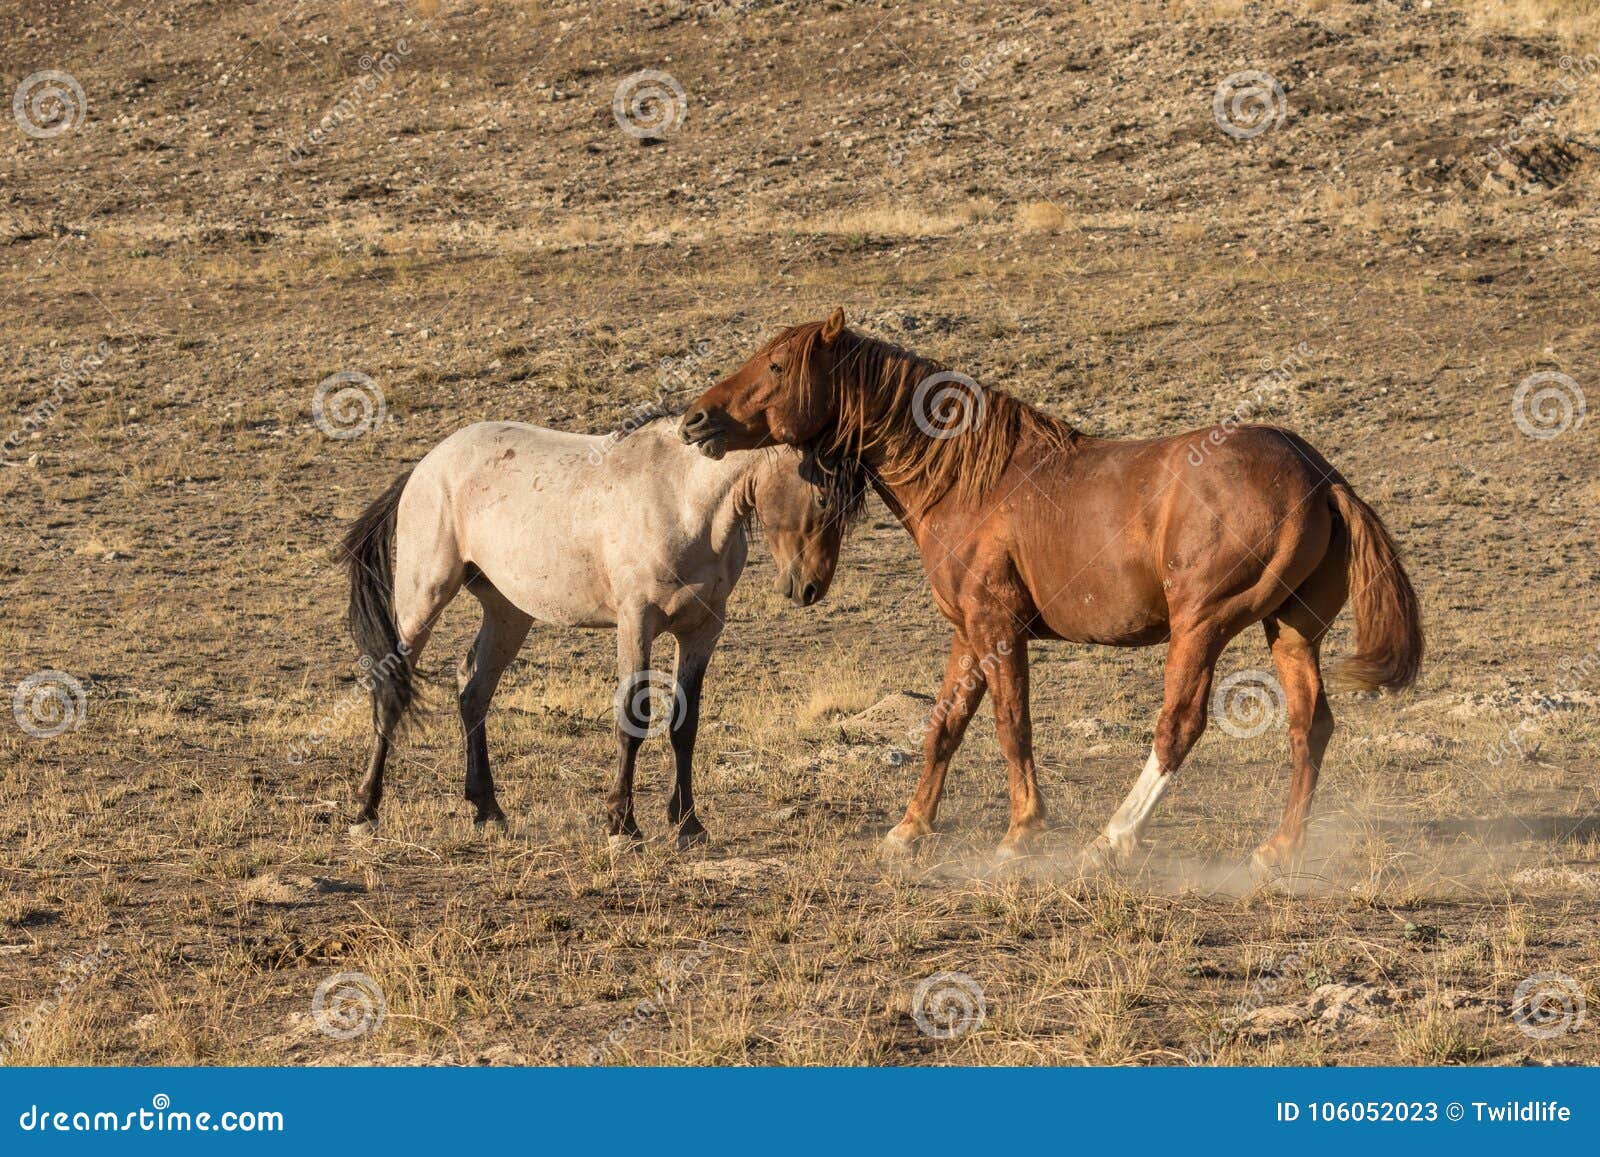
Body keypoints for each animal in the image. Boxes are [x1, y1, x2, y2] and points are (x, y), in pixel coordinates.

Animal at [341, 410, 858, 850]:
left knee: (473, 691)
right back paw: (366, 810)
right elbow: (632, 716)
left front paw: (689, 824)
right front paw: (621, 824)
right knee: (391, 691)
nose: (808, 588)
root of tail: (426, 466)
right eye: (822, 496)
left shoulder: (702, 631)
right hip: (424, 596)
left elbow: (684, 725)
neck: (683, 502)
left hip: (508, 612)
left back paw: (488, 810)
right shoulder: (636, 622)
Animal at [679, 308, 1423, 873]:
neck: (970, 481)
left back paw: (1113, 838)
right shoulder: (967, 632)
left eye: (777, 366)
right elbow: (944, 727)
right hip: (1292, 630)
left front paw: (1022, 833)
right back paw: (1279, 848)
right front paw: (909, 829)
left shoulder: (998, 628)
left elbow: (1012, 727)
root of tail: (1320, 475)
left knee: (1179, 726)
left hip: (1202, 627)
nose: (695, 421)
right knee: (1309, 727)